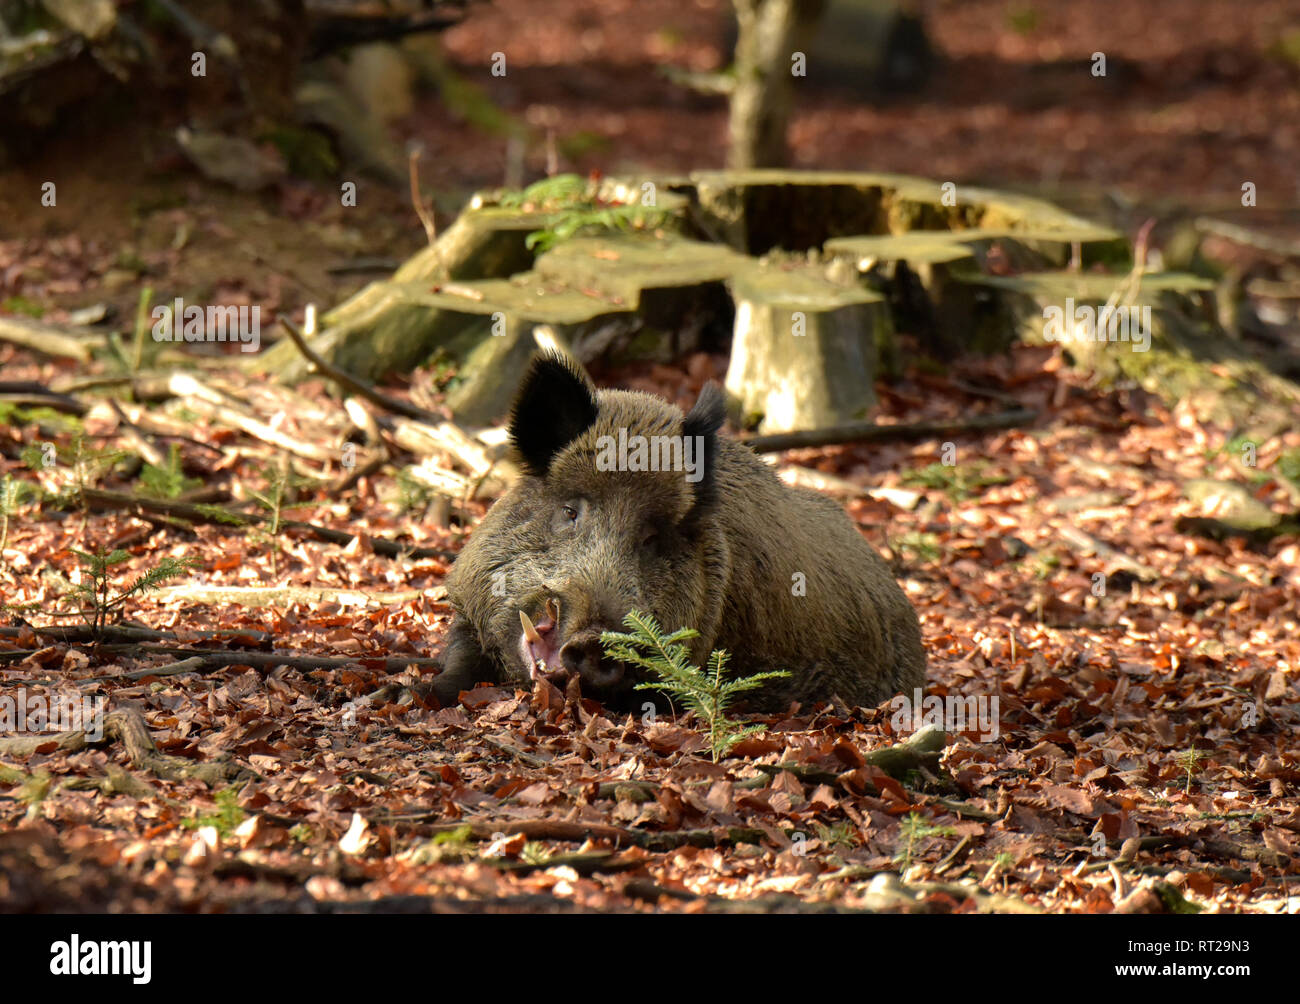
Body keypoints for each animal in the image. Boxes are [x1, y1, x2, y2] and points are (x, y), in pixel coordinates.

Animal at [434, 352, 925, 712]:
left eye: (652, 538)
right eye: (570, 510)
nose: (595, 640)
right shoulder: (467, 609)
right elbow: (455, 664)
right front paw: (416, 692)